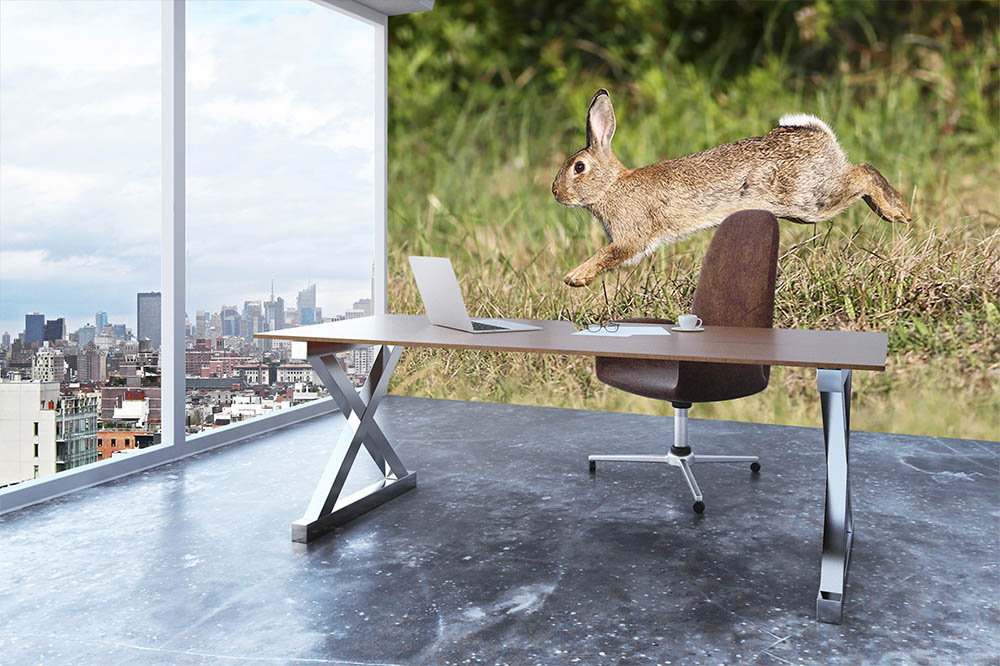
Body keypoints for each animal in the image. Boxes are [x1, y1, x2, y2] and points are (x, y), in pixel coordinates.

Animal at [551, 89, 912, 287]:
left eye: (579, 168)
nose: (556, 193)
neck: (611, 185)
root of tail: (817, 134)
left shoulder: (631, 236)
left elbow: (610, 255)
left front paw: (575, 278)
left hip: (807, 201)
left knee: (862, 173)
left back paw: (897, 212)